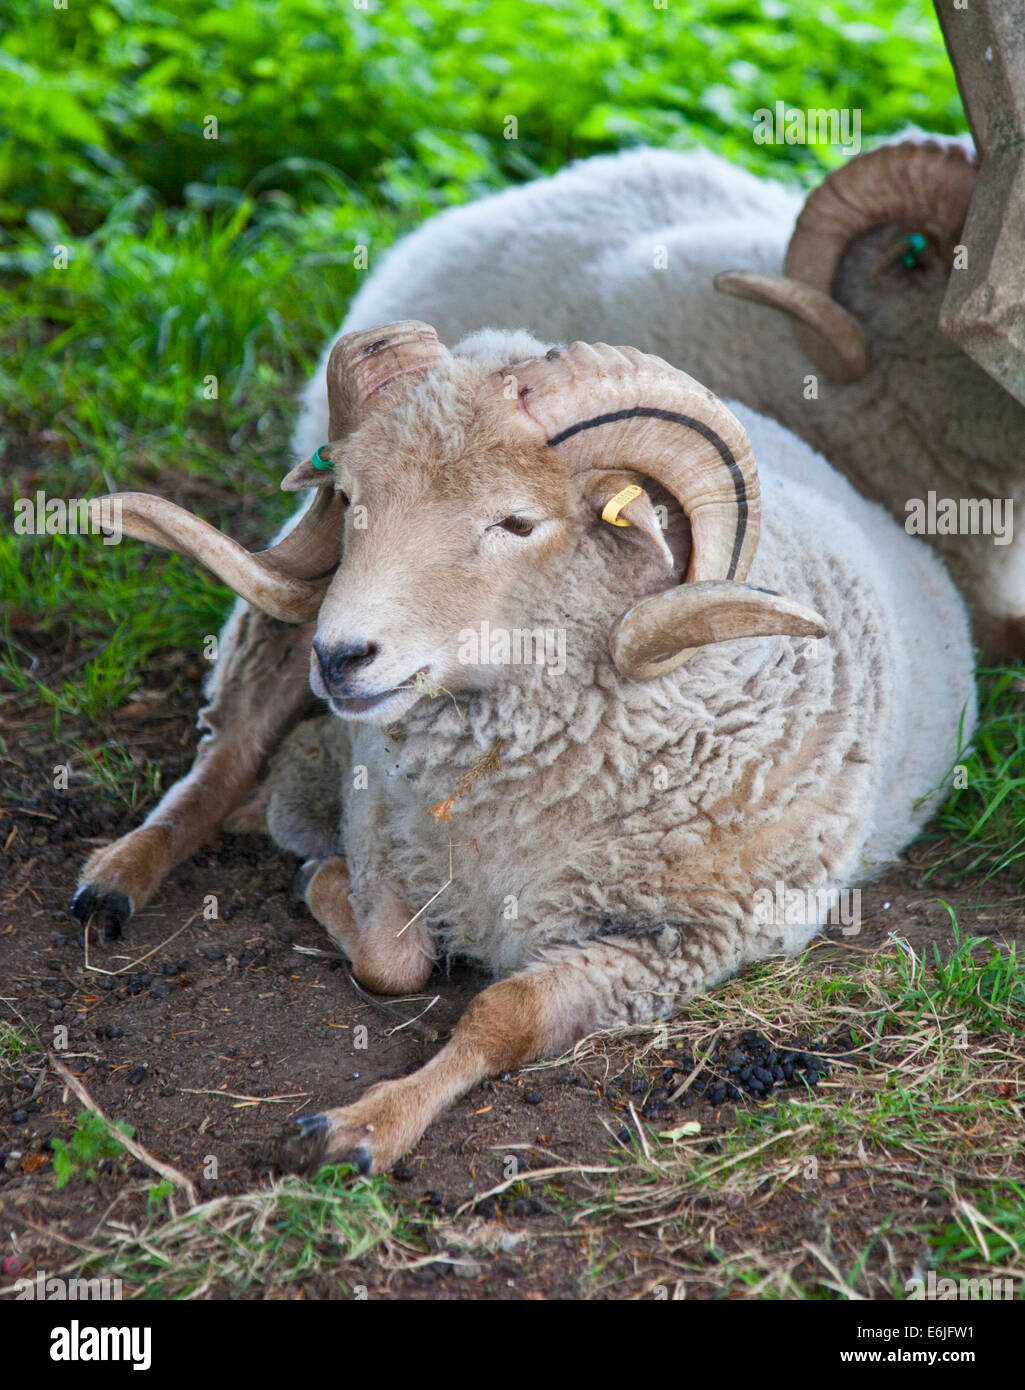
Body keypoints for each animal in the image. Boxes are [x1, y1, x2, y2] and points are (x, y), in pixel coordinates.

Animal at [76, 322, 976, 1174]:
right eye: (349, 497)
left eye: (516, 521)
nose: (339, 657)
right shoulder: (378, 821)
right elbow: (391, 962)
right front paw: (325, 887)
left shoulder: (693, 943)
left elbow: (500, 1015)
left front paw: (365, 1125)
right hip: (268, 636)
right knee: (221, 764)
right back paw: (116, 878)